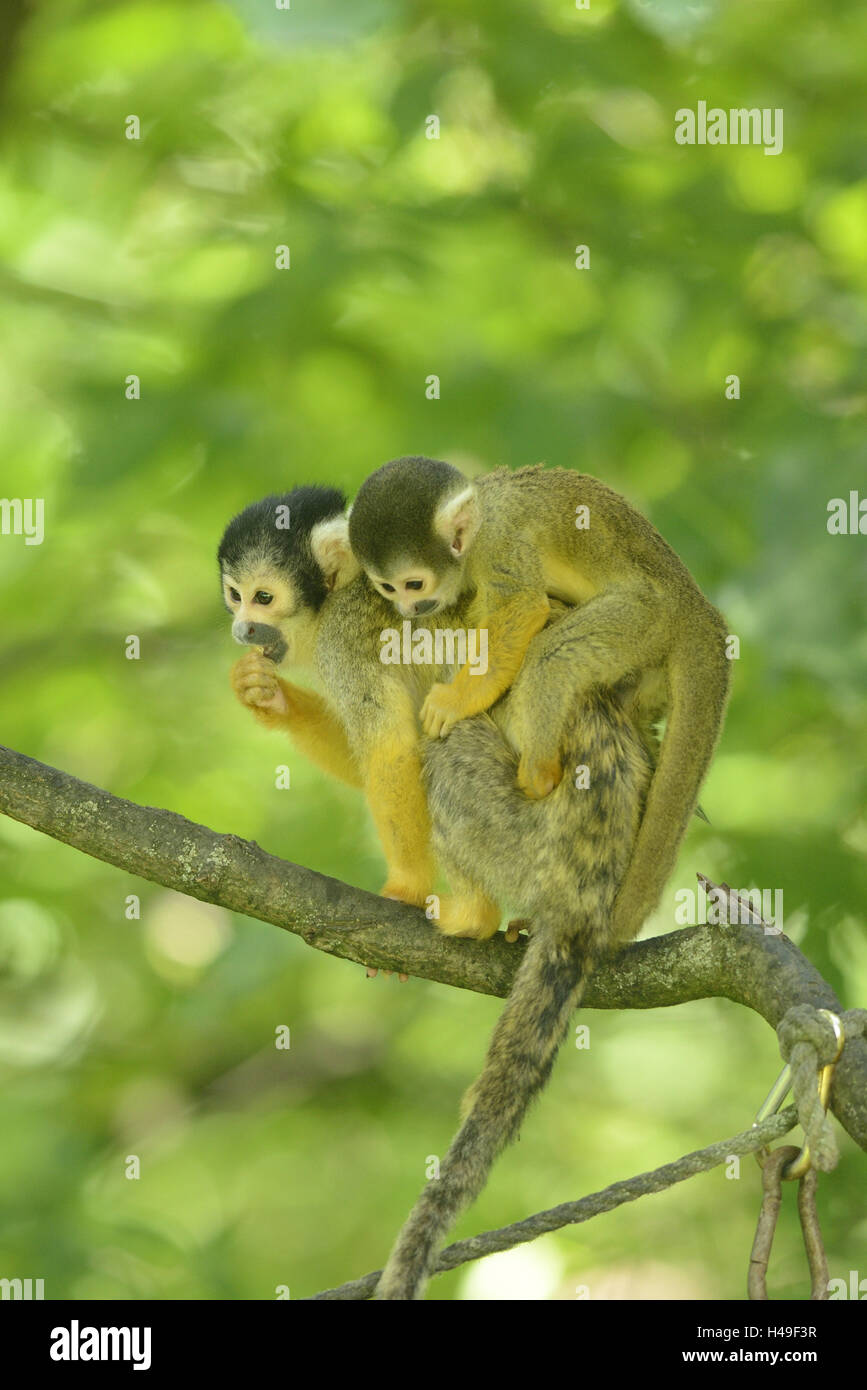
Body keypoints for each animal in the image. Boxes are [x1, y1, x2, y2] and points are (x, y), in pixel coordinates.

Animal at [348, 456, 730, 947]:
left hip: (646, 616)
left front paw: (455, 700)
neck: (476, 523)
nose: (410, 610)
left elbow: (522, 607)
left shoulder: (499, 543)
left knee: (551, 658)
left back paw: (539, 772)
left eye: (414, 583)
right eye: (389, 589)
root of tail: (696, 608)